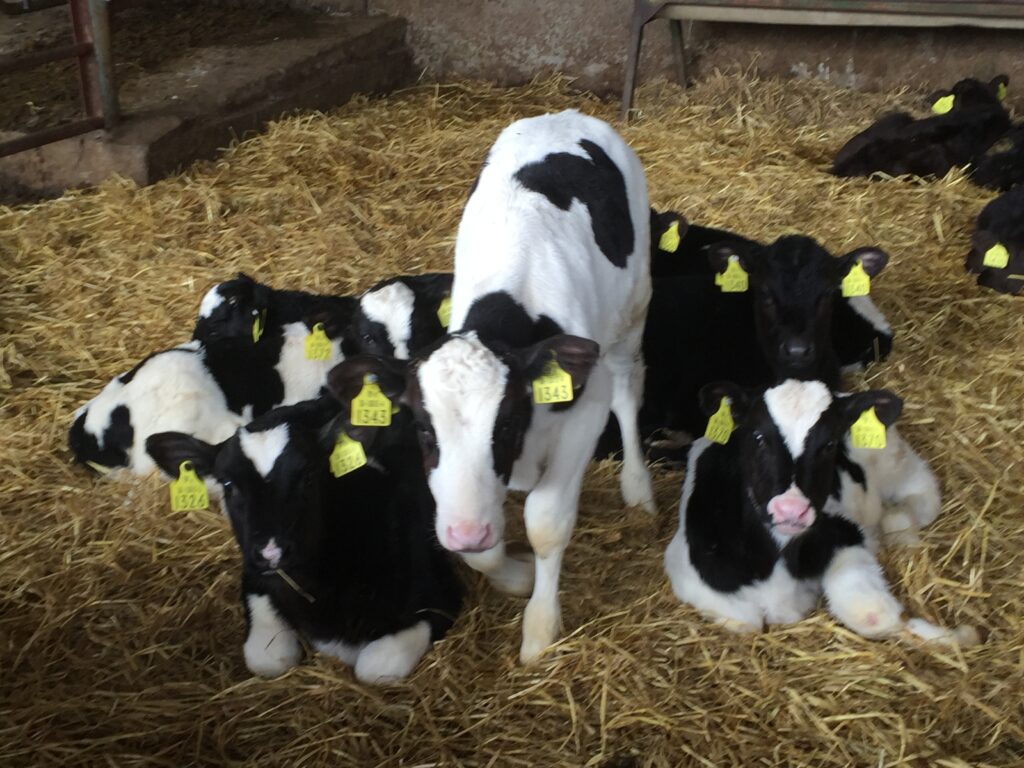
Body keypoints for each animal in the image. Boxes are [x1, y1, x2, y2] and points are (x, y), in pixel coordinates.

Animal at [145, 396, 463, 683]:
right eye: (228, 484)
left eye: (308, 475)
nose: (271, 553)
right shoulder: (254, 578)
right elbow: (269, 658)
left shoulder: (439, 596)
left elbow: (375, 667)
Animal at [327, 109, 654, 664]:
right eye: (424, 432)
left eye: (503, 426)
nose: (467, 531)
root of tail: (564, 115)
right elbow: (477, 546)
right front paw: (514, 574)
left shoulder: (584, 411)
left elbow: (545, 522)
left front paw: (541, 625)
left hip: (632, 308)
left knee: (630, 391)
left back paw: (637, 485)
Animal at [663, 379, 978, 645]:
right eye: (758, 436)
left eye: (829, 444)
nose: (791, 509)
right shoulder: (694, 578)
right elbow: (745, 622)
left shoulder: (843, 531)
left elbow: (871, 613)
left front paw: (957, 637)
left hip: (895, 464)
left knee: (919, 496)